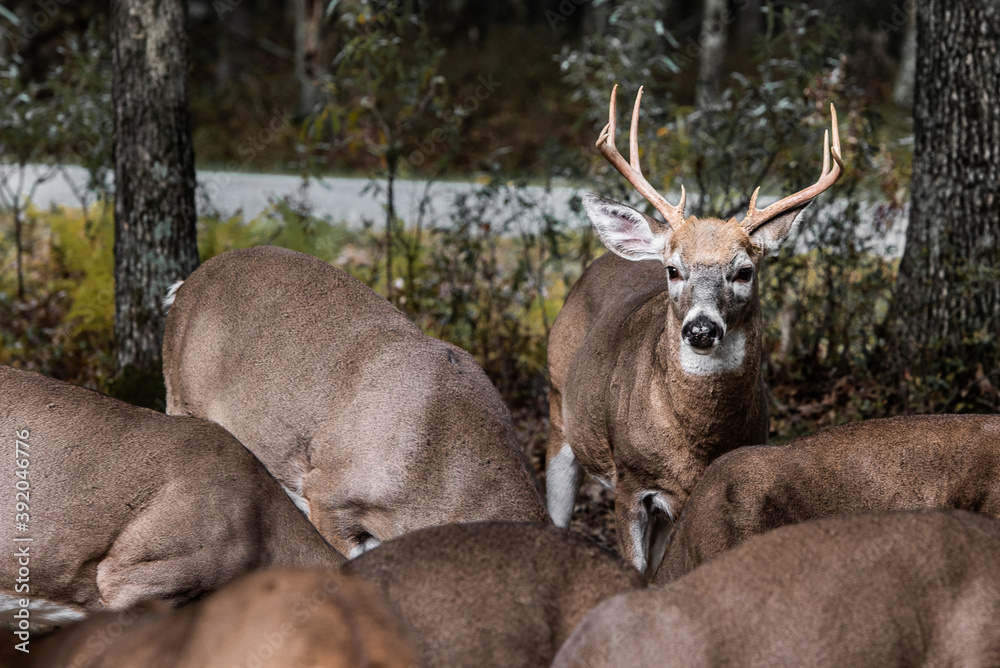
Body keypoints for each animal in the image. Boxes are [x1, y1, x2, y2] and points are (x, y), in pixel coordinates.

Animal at [546, 85, 844, 575]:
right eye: (672, 269)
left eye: (744, 271)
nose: (701, 329)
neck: (693, 445)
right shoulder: (630, 482)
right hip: (558, 413)